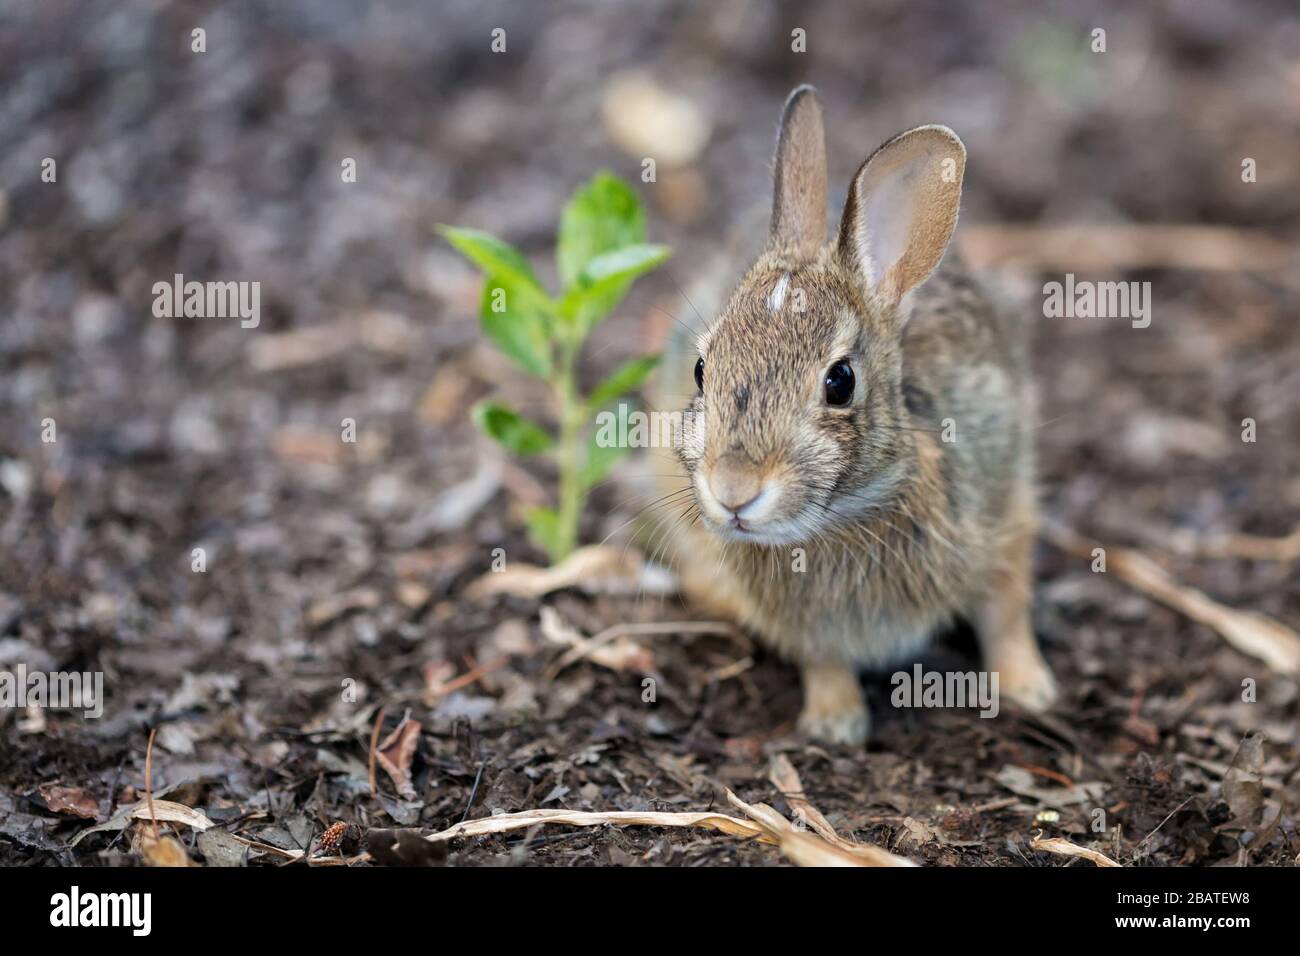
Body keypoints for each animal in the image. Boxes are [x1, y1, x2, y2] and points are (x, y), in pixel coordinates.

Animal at [639, 85, 1058, 745]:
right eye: (702, 370)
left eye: (841, 382)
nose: (733, 492)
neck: (846, 517)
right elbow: (822, 658)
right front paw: (834, 722)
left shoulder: (1004, 512)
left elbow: (1005, 609)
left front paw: (1028, 688)